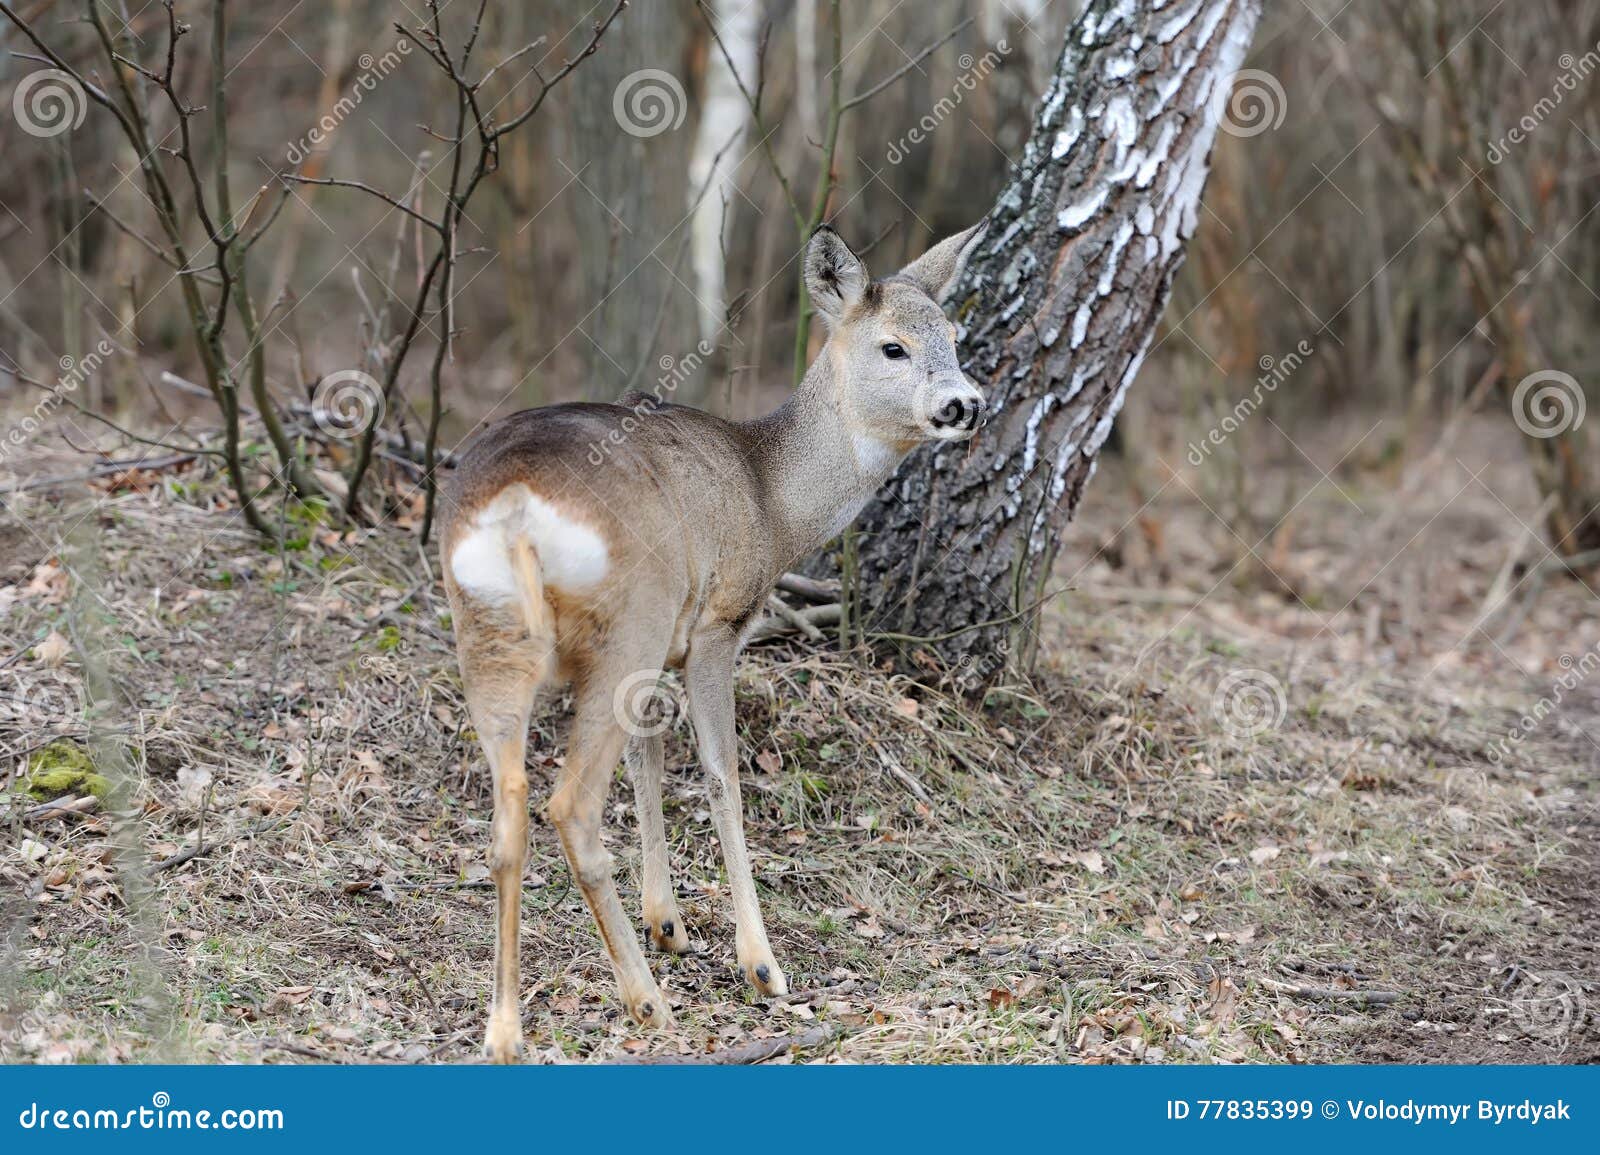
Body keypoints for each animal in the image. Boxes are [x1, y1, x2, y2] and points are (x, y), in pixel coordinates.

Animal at [439, 222, 987, 1062]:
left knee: (510, 812)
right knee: (570, 804)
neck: (771, 495)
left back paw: (505, 1030)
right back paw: (646, 1002)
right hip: (624, 624)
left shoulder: (665, 647)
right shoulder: (717, 624)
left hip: (492, 633)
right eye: (892, 347)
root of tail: (518, 510)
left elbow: (649, 759)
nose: (967, 404)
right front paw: (761, 964)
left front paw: (667, 921)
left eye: (955, 336)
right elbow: (722, 777)